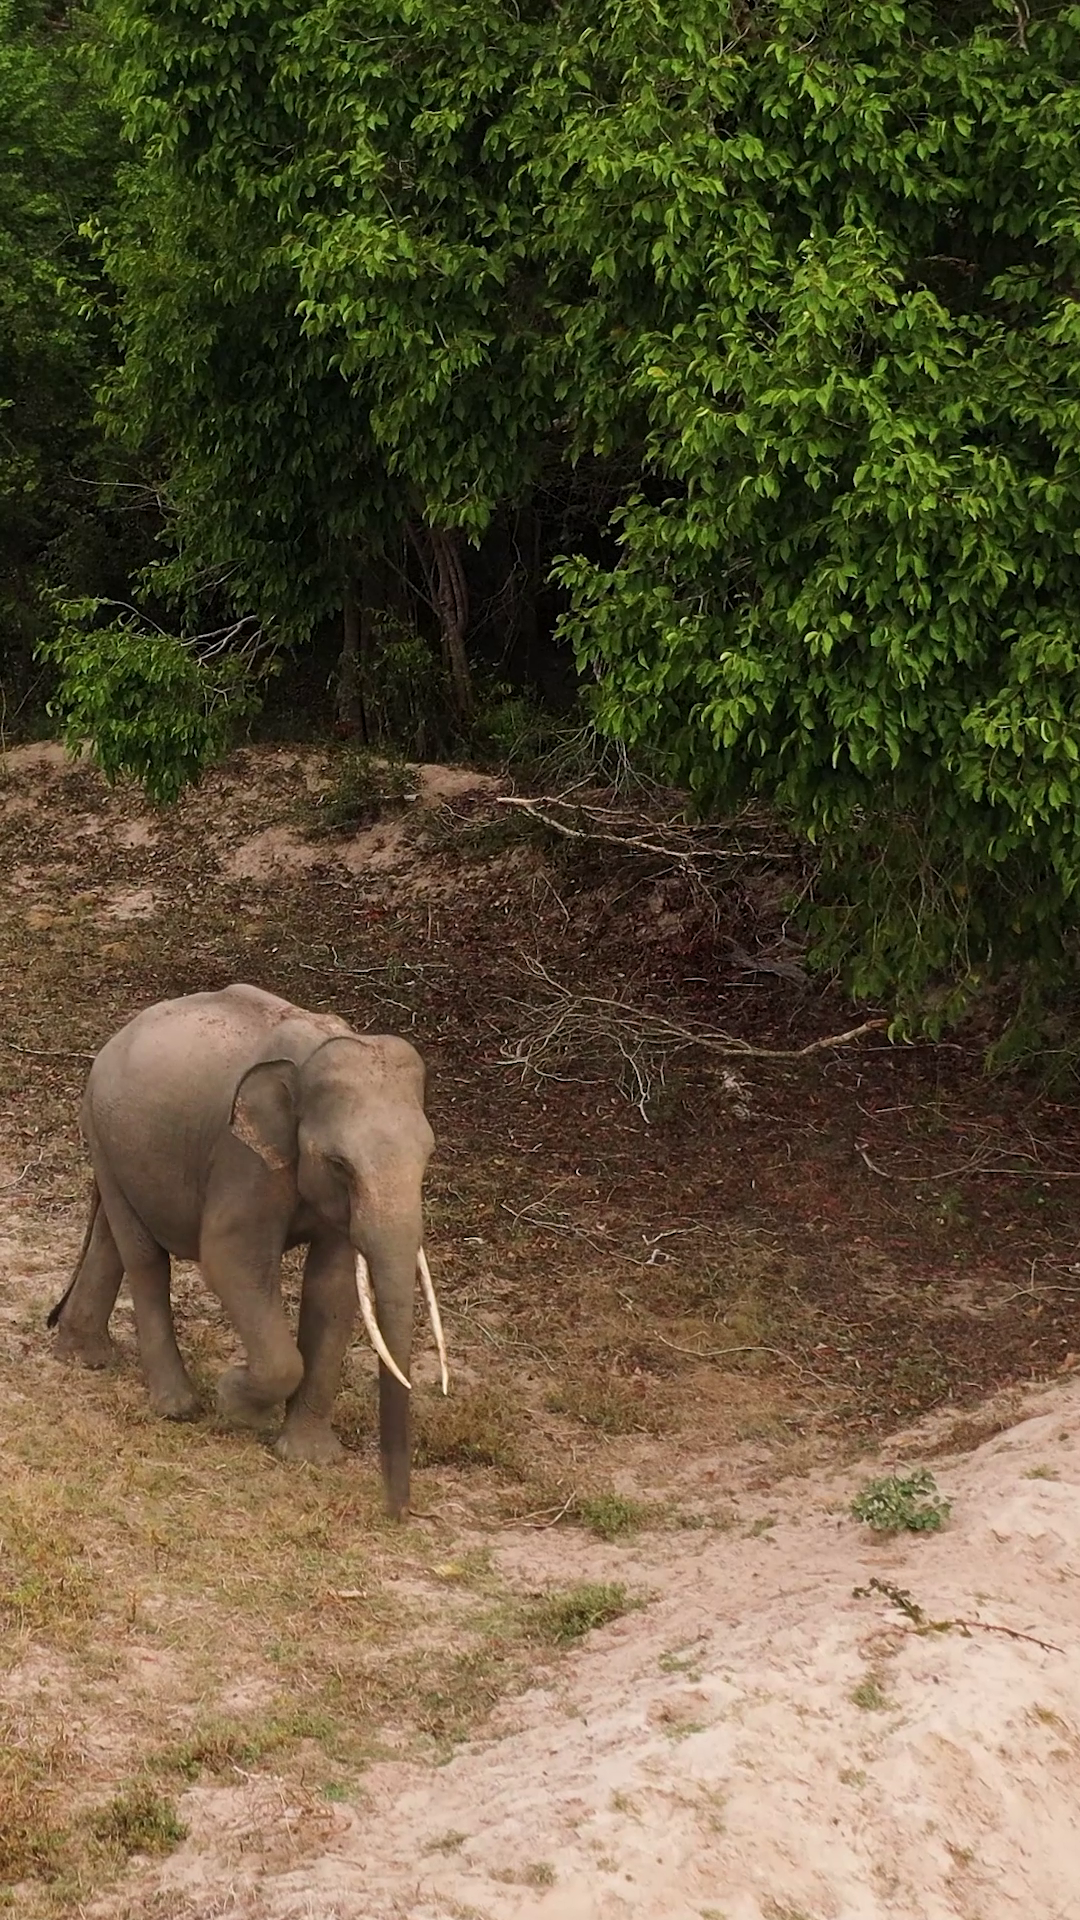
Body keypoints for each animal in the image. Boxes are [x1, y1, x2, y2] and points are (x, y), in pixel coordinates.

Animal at [46, 983, 446, 1517]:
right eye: (340, 1164)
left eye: (428, 1156)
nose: (399, 1514)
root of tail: (118, 1034)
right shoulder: (243, 1157)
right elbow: (230, 1260)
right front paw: (233, 1401)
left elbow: (333, 1286)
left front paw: (309, 1458)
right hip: (105, 1132)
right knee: (145, 1259)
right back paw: (178, 1407)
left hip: (120, 1146)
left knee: (114, 1238)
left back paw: (85, 1358)